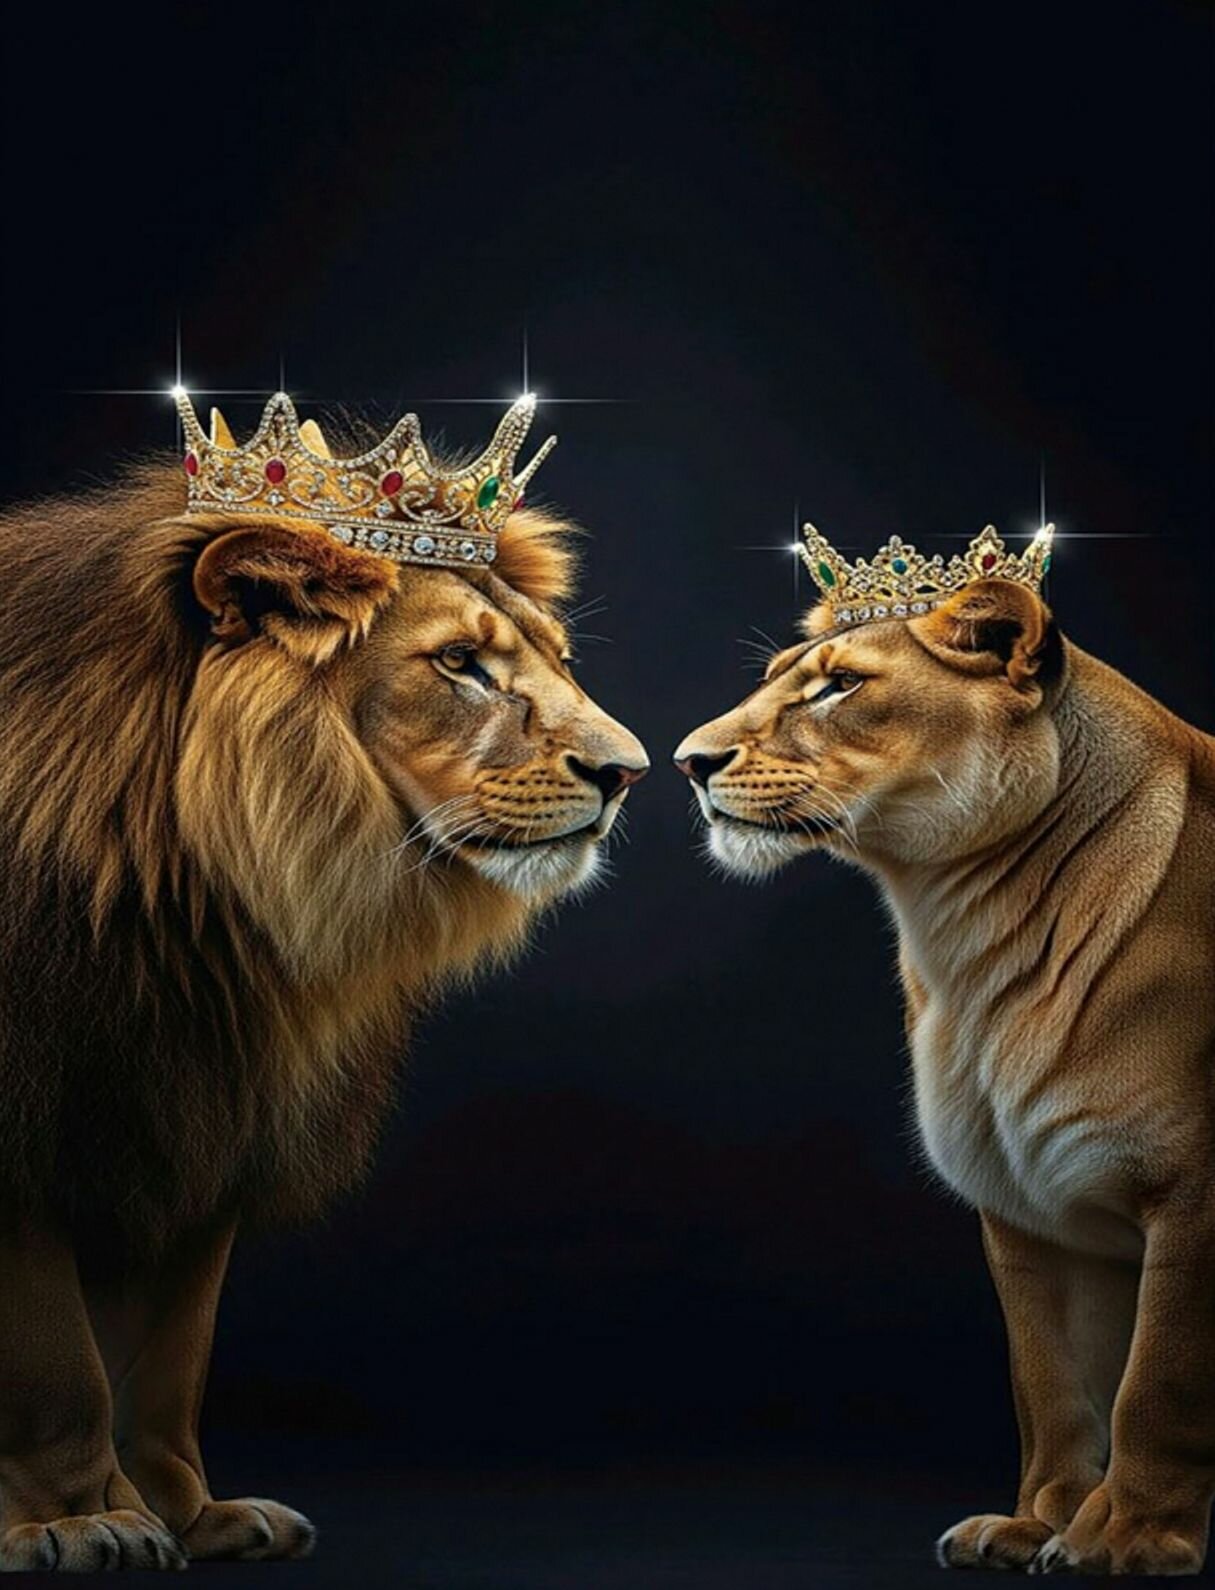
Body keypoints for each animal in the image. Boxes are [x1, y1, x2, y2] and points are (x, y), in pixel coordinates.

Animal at [0, 451, 647, 1572]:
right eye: (461, 664)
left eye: (560, 660)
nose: (630, 773)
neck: (196, 906)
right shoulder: (39, 1120)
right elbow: (55, 1359)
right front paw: (83, 1520)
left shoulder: (195, 1117)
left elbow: (169, 1357)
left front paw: (188, 1514)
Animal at [676, 576, 1215, 1575]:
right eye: (777, 678)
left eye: (841, 685)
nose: (690, 762)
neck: (973, 942)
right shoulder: (1028, 1209)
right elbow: (1051, 1382)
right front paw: (1037, 1523)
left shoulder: (1190, 1197)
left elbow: (1156, 1384)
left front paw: (1126, 1537)